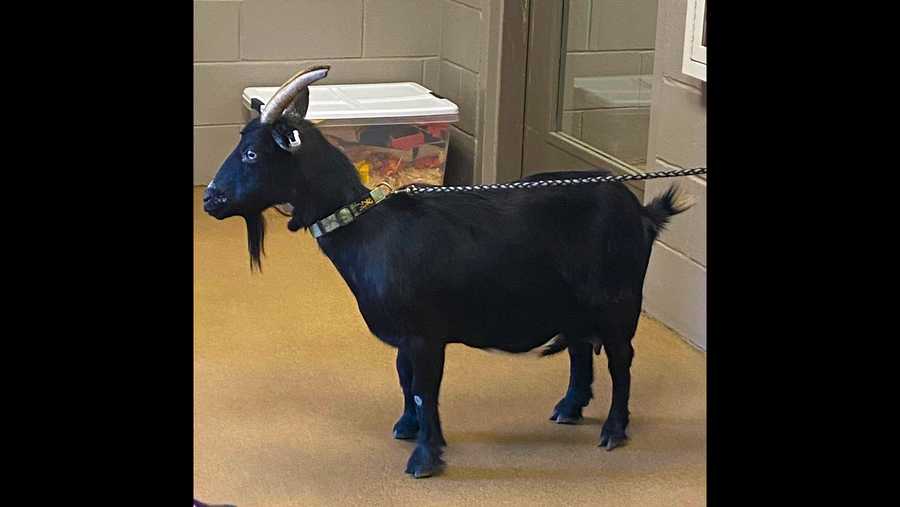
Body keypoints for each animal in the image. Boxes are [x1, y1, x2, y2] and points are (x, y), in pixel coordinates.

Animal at [203, 65, 693, 479]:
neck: (368, 228)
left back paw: (613, 430)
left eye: (251, 153)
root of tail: (641, 213)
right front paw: (408, 427)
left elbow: (425, 387)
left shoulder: (425, 334)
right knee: (578, 351)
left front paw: (426, 457)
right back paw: (569, 409)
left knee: (621, 361)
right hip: (575, 306)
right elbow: (404, 378)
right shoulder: (406, 335)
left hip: (619, 302)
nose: (210, 199)